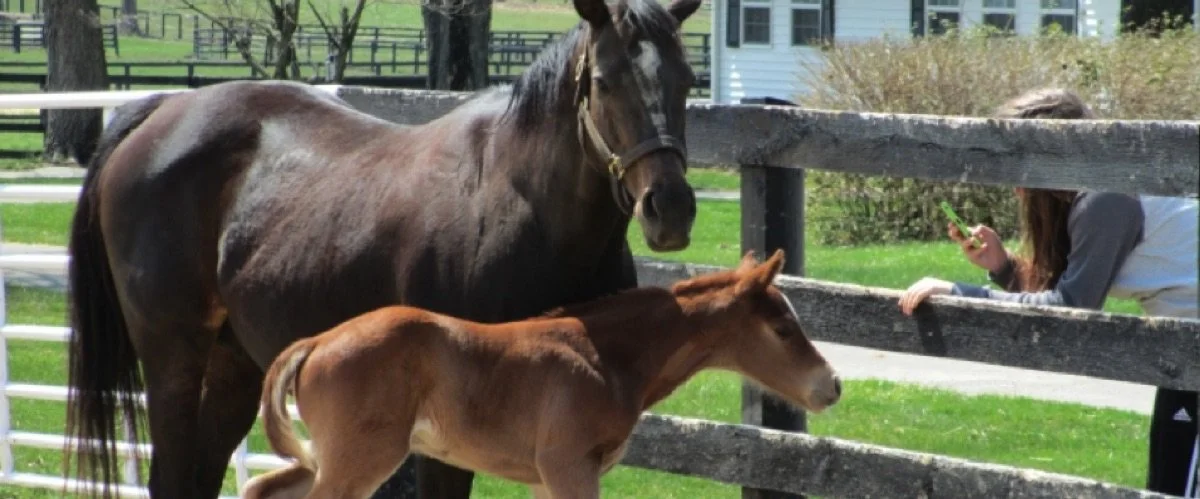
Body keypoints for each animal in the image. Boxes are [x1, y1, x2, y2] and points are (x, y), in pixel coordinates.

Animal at [62, 0, 703, 496]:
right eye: (605, 82)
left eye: (687, 80)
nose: (669, 208)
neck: (526, 211)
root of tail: (162, 109)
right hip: (172, 358)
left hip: (235, 366)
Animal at [240, 250, 842, 499]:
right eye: (783, 328)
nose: (831, 385)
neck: (606, 357)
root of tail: (318, 341)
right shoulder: (569, 466)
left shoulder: (543, 476)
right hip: (360, 459)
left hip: (329, 457)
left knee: (262, 488)